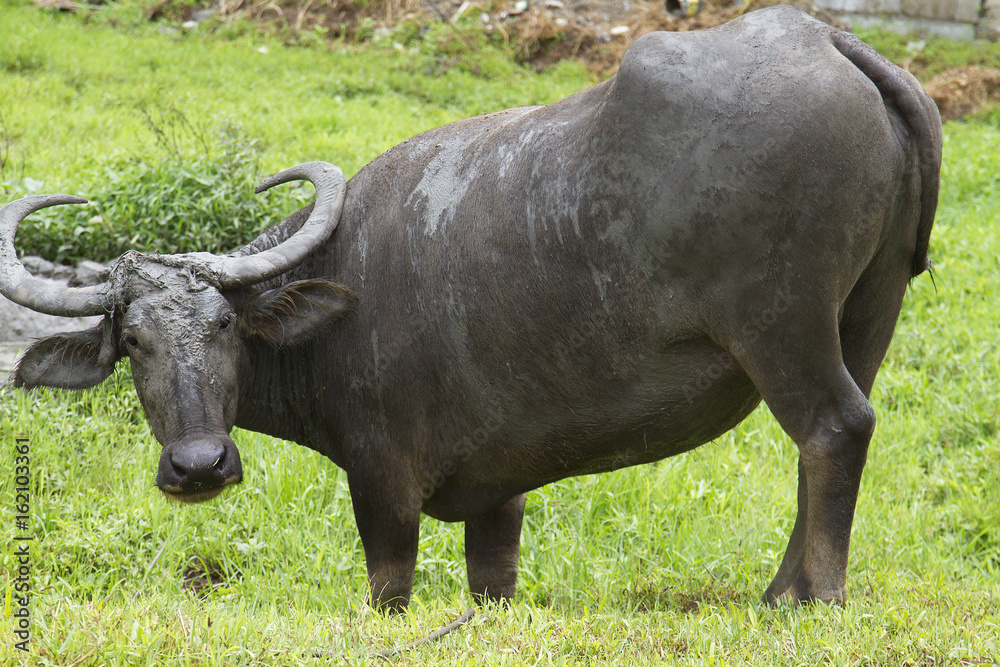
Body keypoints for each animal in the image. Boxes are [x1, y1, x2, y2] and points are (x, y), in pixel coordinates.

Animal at [1, 7, 941, 611]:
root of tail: (829, 39)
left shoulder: (381, 477)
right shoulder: (501, 488)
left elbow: (389, 584)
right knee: (836, 436)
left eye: (227, 326)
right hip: (869, 313)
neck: (343, 288)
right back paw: (780, 589)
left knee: (834, 427)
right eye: (132, 341)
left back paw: (814, 599)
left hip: (782, 326)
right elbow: (493, 579)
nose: (198, 465)